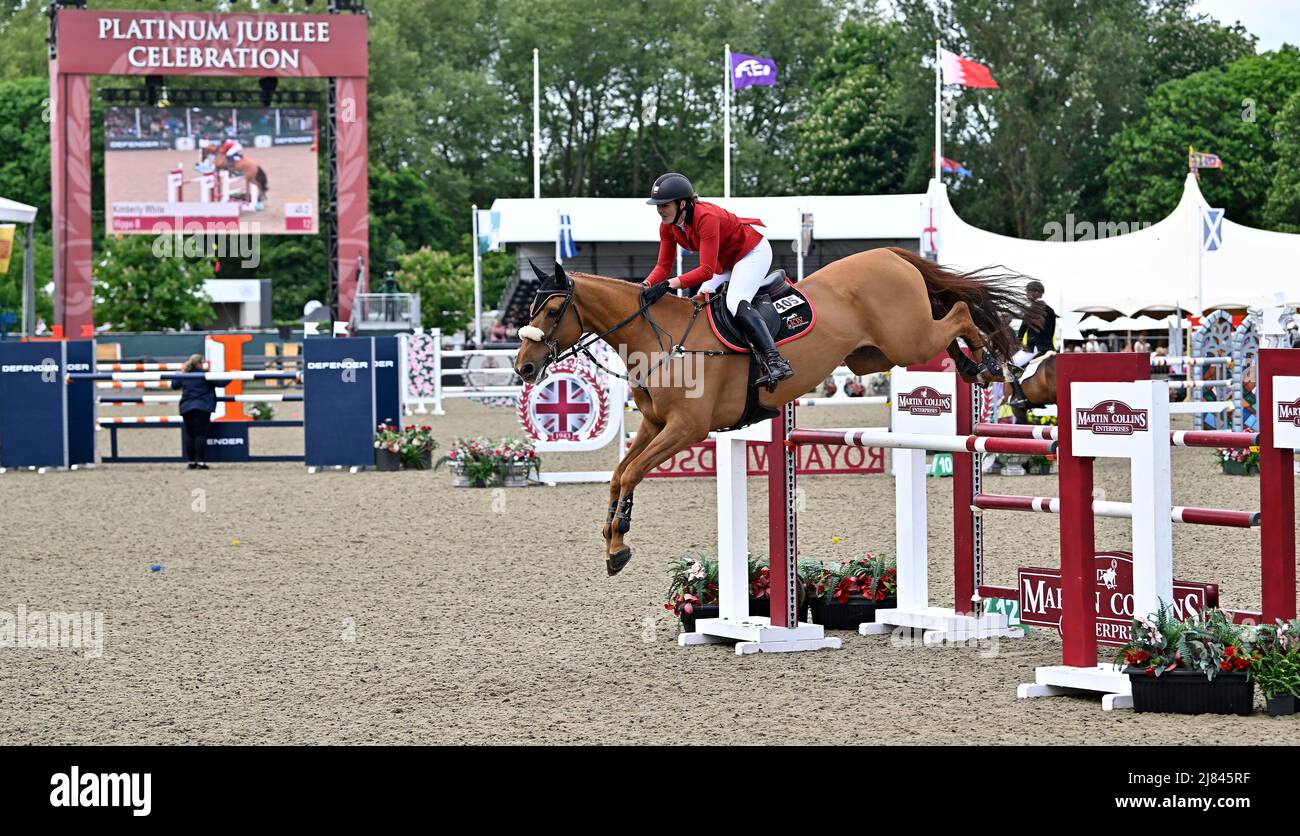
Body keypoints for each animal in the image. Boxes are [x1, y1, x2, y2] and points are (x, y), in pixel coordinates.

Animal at [513, 247, 1041, 576]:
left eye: (552, 311)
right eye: (531, 308)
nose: (523, 366)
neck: (659, 339)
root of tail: (889, 255)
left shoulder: (686, 428)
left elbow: (633, 472)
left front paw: (619, 539)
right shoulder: (655, 424)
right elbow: (620, 473)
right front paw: (612, 543)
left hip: (905, 339)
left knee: (960, 312)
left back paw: (988, 363)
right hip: (875, 354)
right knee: (949, 319)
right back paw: (971, 365)